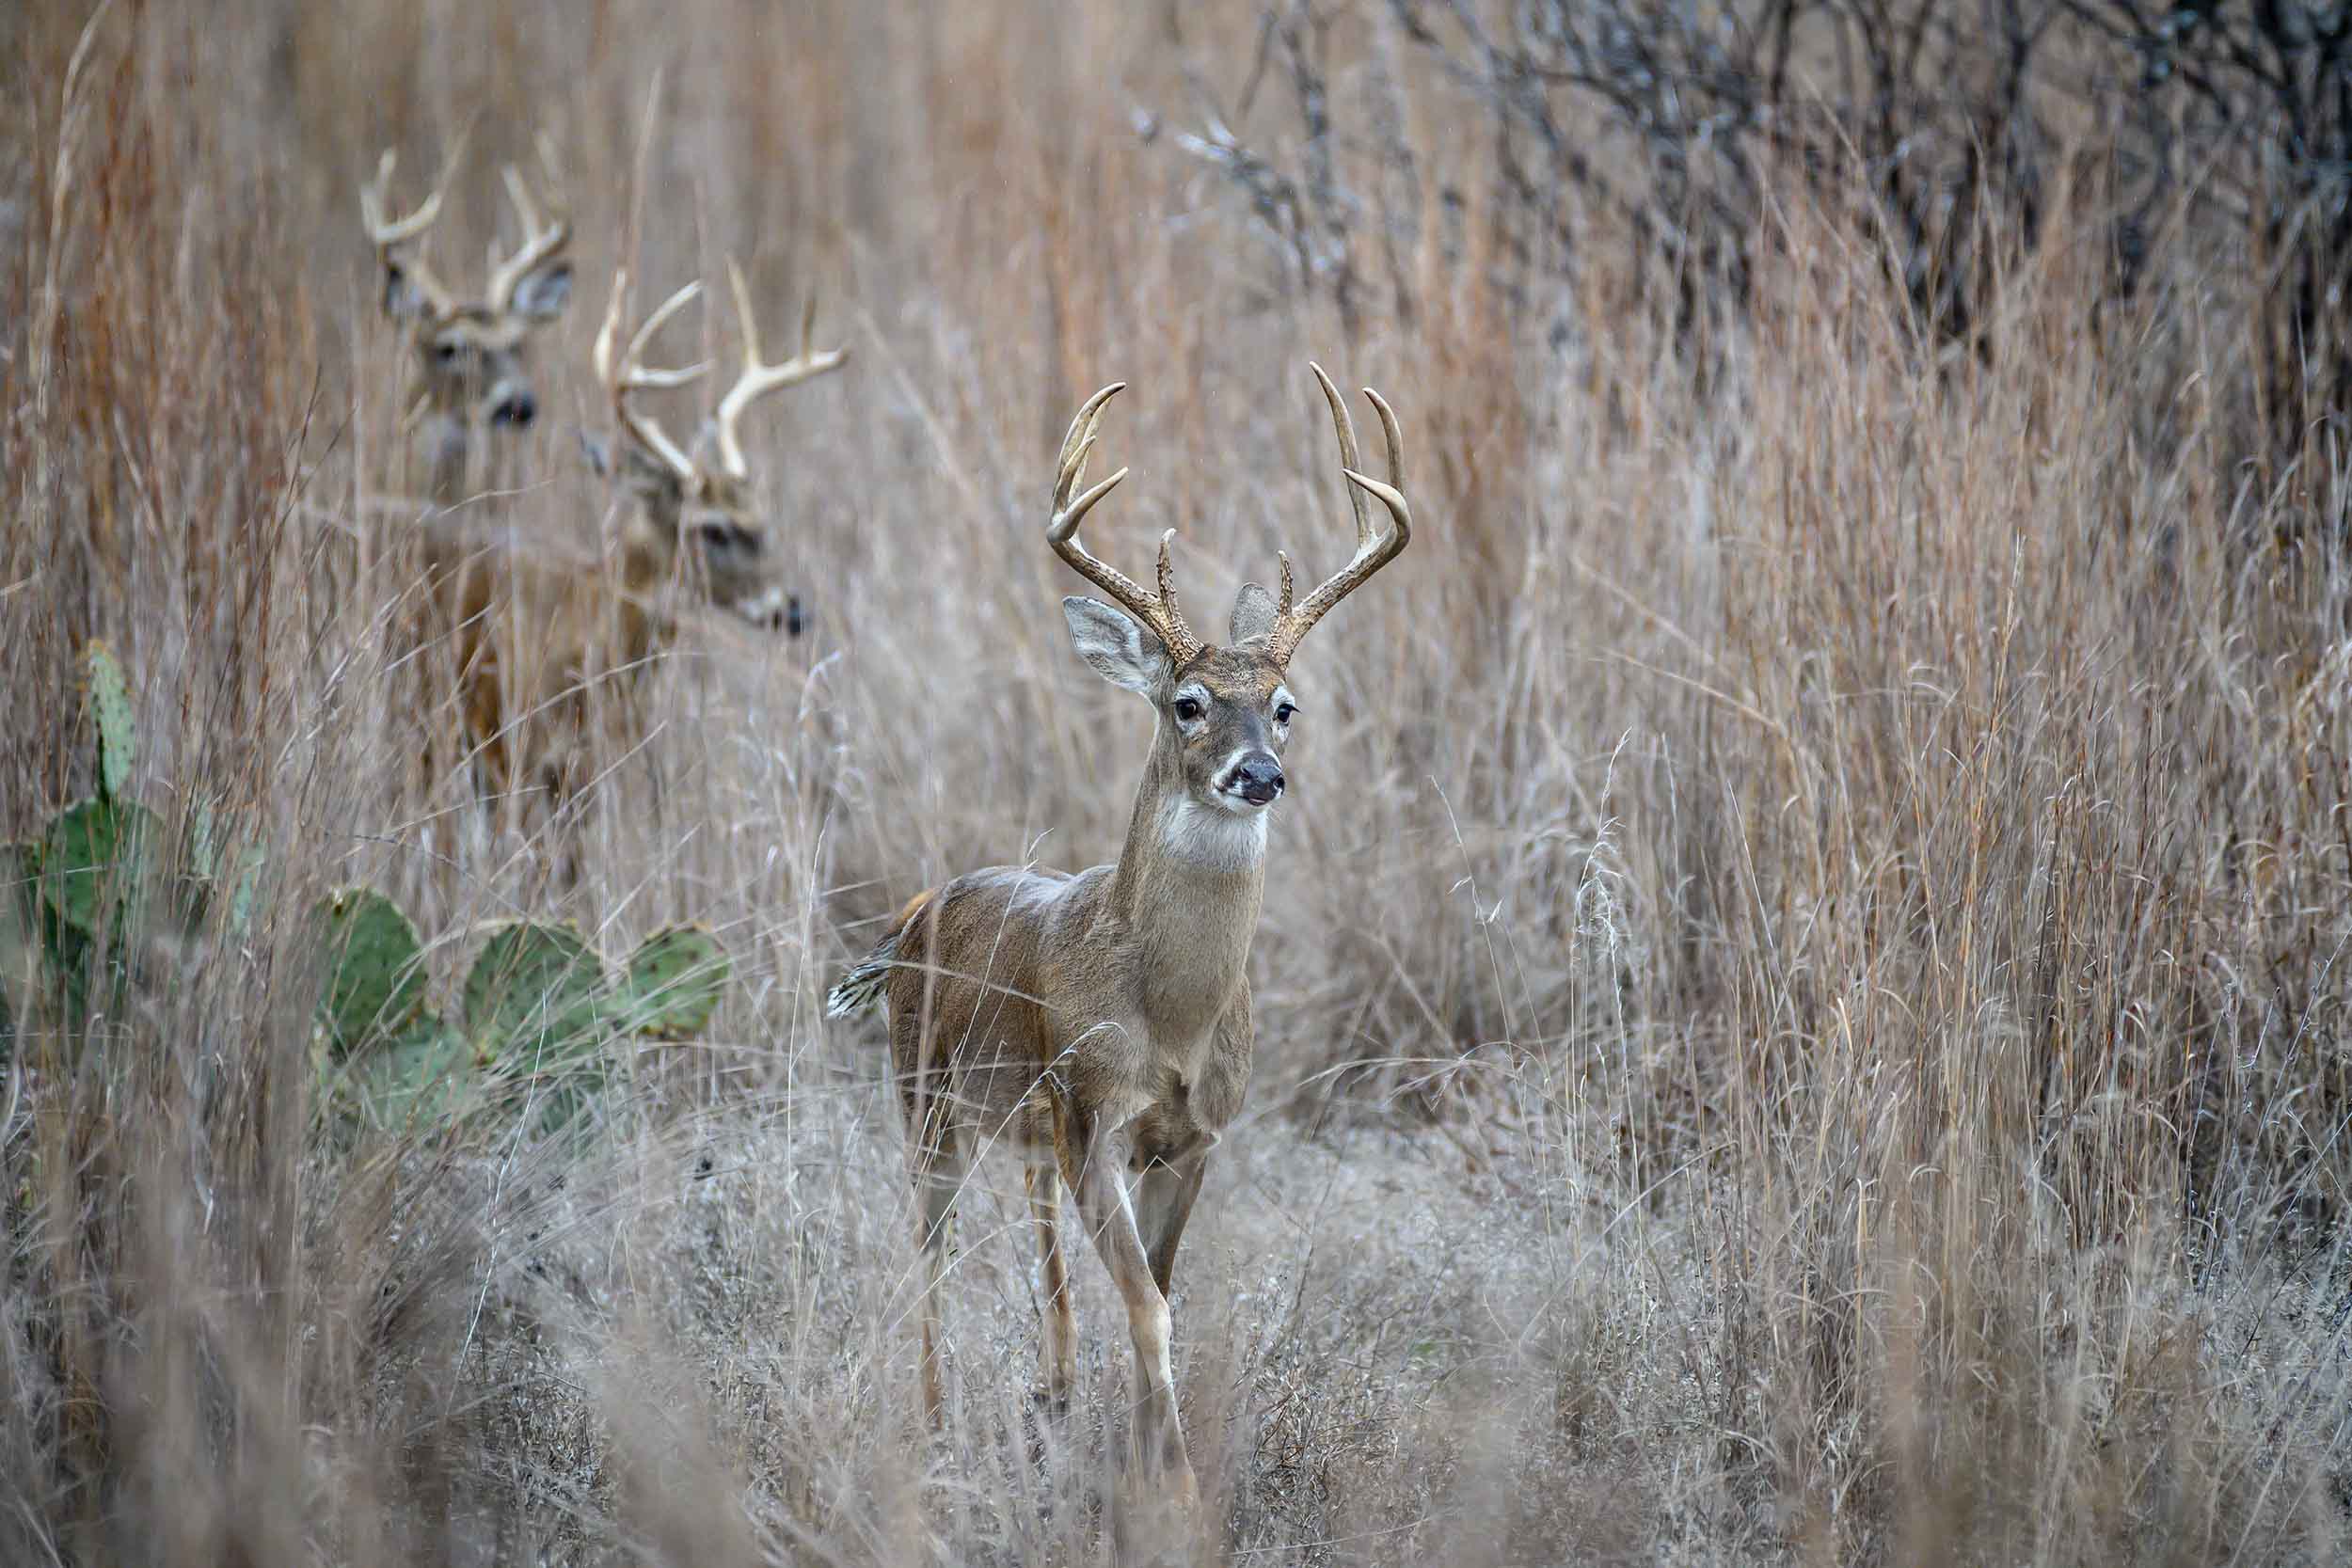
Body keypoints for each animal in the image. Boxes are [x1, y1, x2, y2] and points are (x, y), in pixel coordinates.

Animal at [825, 366, 1412, 1525]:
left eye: (1286, 705)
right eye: (1187, 701)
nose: (1258, 773)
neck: (1172, 1016)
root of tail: (914, 907)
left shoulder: (1194, 1137)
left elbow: (1162, 1289)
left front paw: (1138, 1459)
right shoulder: (1095, 1113)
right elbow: (1148, 1307)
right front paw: (1172, 1485)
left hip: (1023, 1126)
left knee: (1039, 1249)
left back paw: (1048, 1392)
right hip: (924, 1100)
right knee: (926, 1255)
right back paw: (934, 1423)